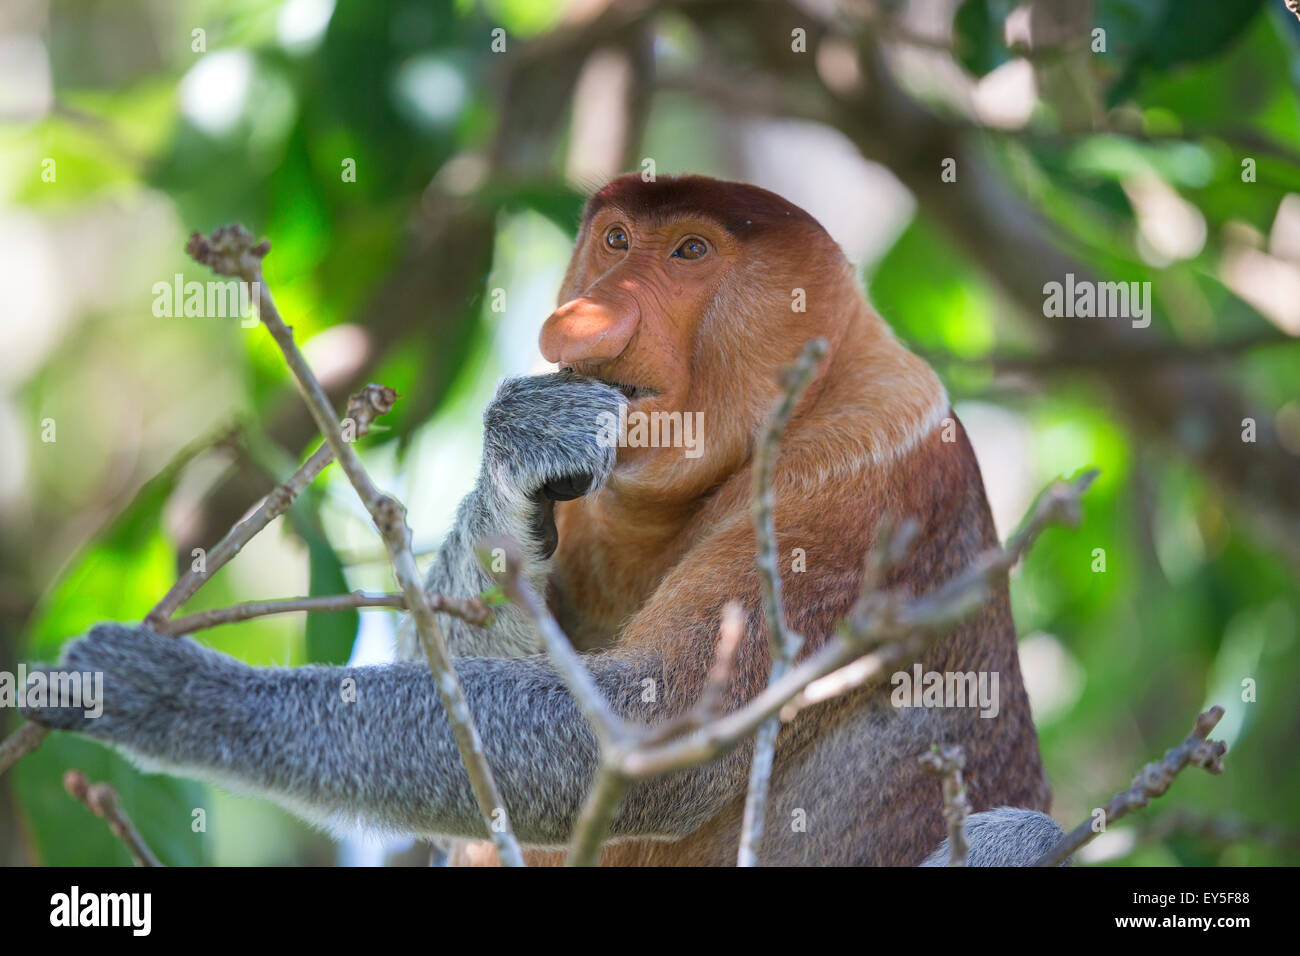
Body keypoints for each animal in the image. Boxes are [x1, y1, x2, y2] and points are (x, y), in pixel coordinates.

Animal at [23, 174, 1063, 866]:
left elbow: (644, 735)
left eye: (690, 252)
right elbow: (460, 653)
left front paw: (165, 694)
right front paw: (524, 444)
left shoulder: (852, 474)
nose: (584, 318)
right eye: (615, 240)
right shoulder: (605, 493)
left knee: (1022, 834)